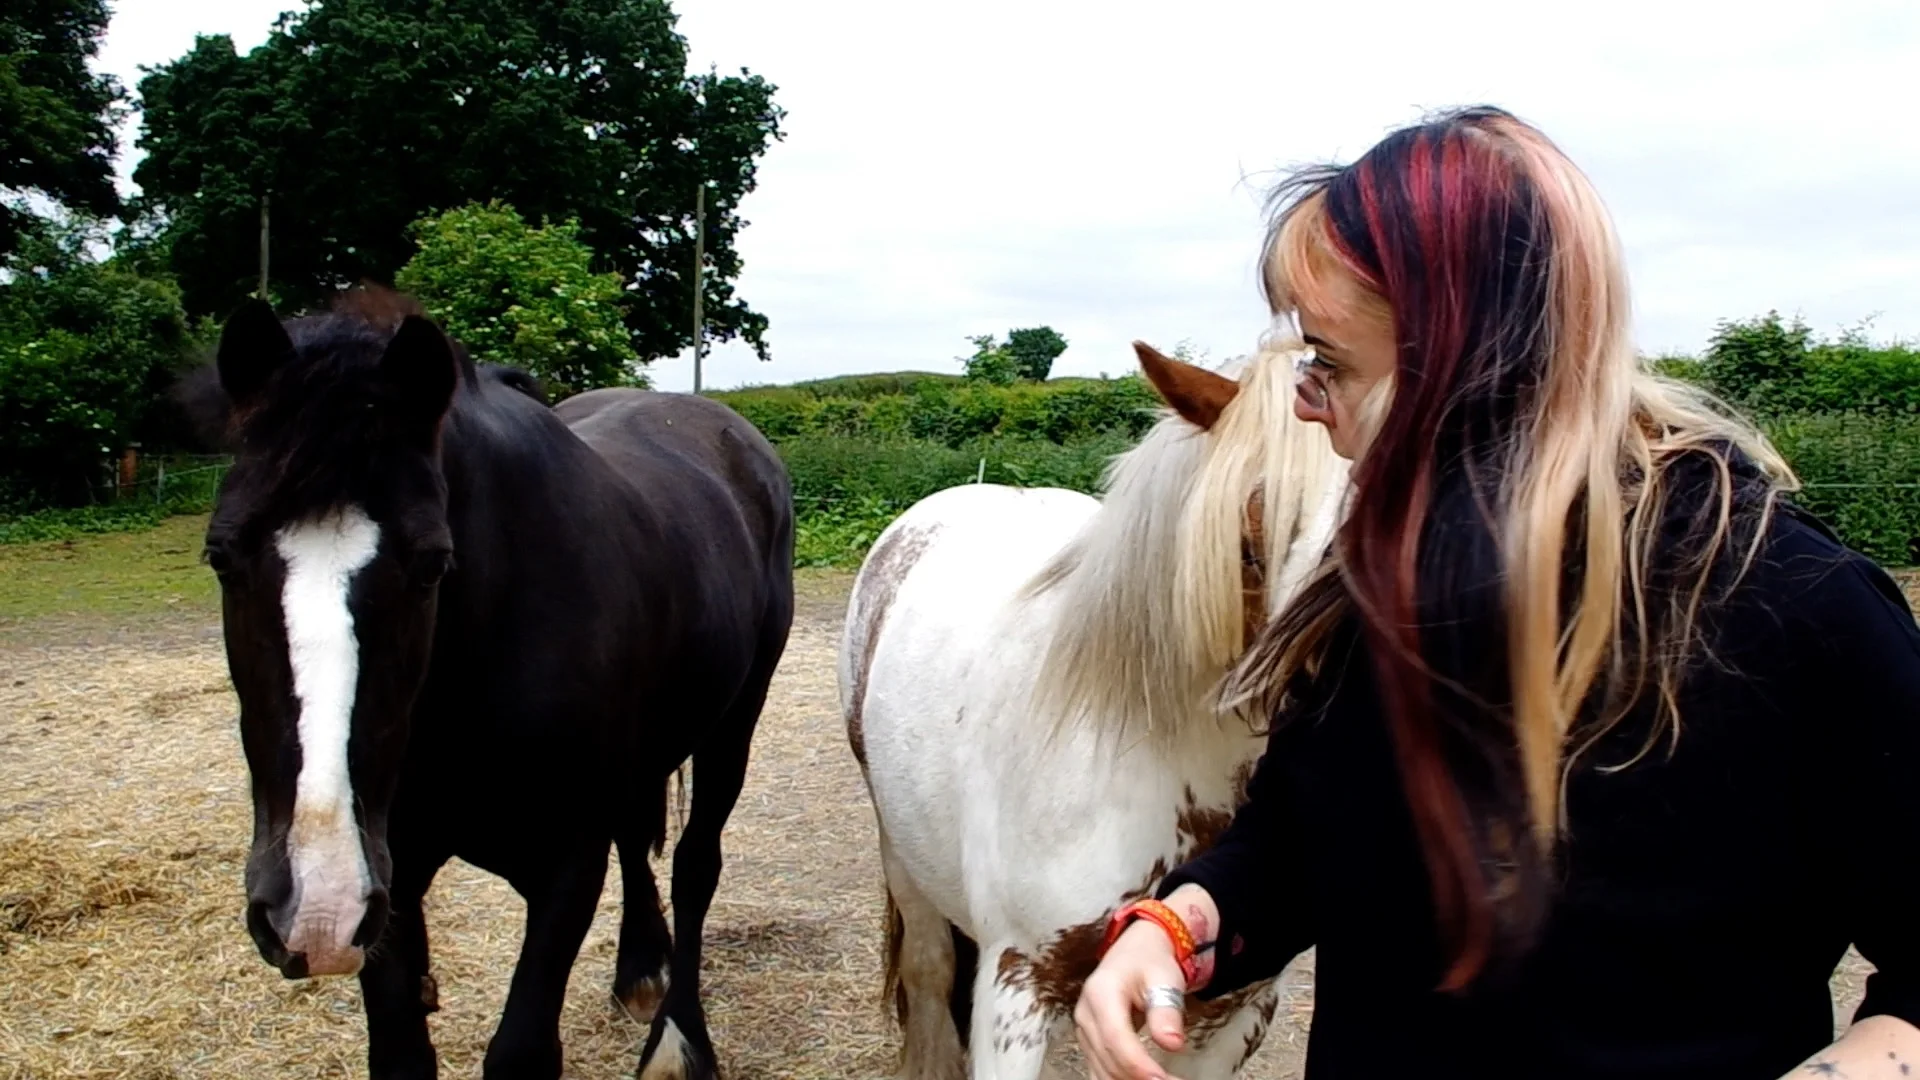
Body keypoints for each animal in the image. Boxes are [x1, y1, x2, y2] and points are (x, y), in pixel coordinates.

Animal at [189, 287, 794, 1080]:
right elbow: (401, 1048)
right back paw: (639, 968)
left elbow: (521, 1051)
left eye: (432, 565)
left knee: (696, 866)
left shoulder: (565, 869)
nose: (312, 903)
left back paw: (679, 1036)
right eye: (221, 556)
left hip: (734, 723)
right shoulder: (388, 880)